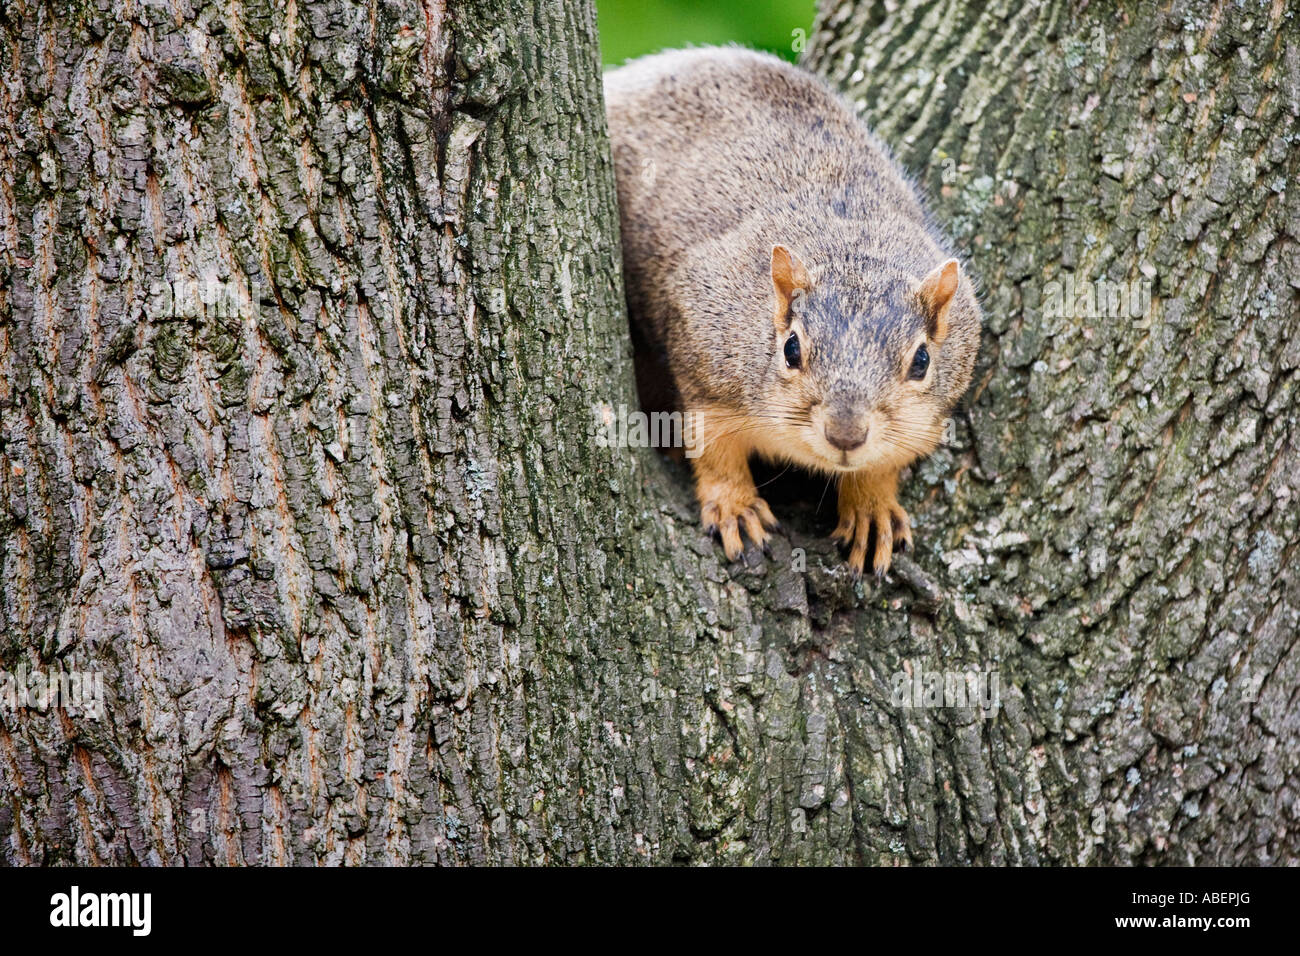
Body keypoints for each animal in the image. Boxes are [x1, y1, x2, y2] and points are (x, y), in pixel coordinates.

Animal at [604, 47, 980, 577]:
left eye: (922, 361)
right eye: (791, 349)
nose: (846, 434)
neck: (850, 241)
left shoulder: (926, 416)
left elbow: (884, 463)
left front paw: (871, 506)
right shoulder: (705, 347)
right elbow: (713, 443)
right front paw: (734, 505)